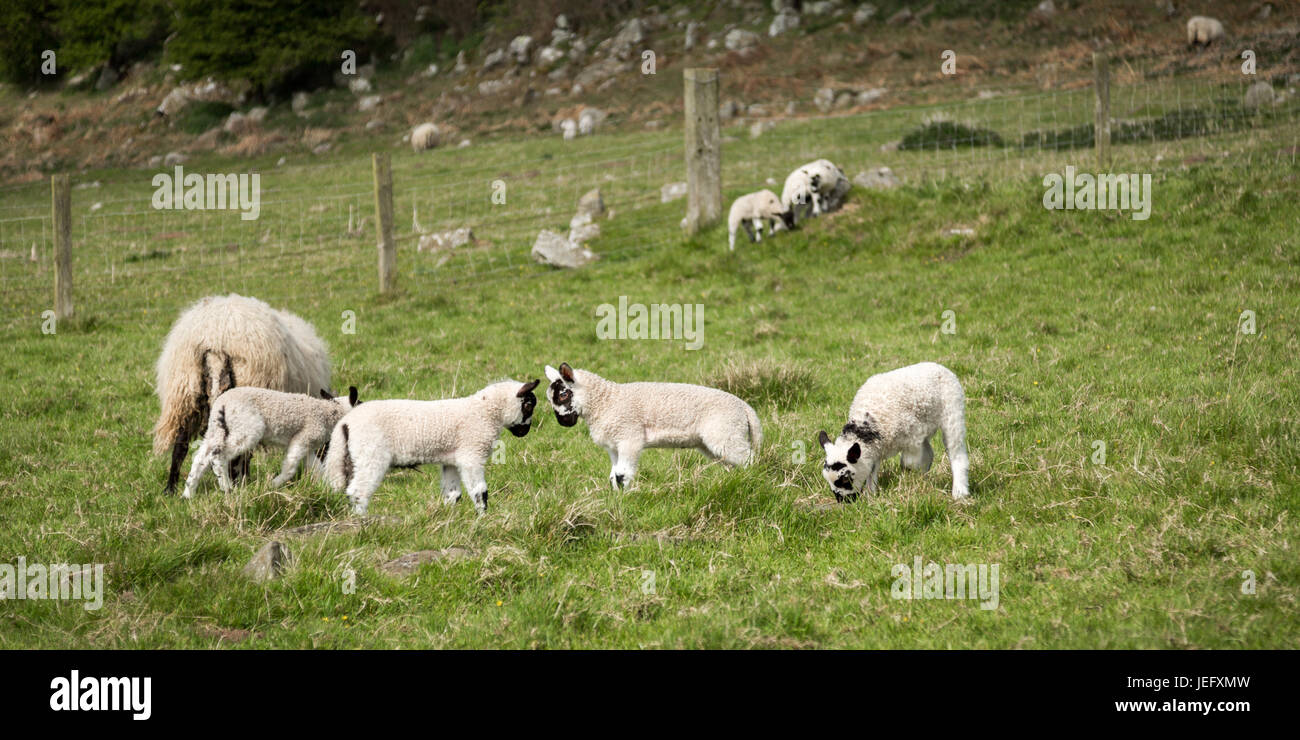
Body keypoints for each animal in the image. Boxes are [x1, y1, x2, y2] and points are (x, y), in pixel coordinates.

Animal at [153, 294, 331, 495]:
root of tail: (217, 337)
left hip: (185, 393)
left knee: (180, 445)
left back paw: (171, 489)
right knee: (236, 452)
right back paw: (237, 482)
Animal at [181, 386, 360, 499]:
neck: (329, 413)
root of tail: (221, 405)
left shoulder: (308, 443)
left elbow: (316, 468)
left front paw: (329, 489)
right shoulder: (304, 436)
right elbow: (290, 467)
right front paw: (272, 485)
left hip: (216, 429)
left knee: (202, 457)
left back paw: (188, 493)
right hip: (246, 428)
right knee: (219, 455)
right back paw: (227, 488)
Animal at [324, 379, 540, 515]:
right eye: (529, 405)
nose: (525, 432)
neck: (484, 413)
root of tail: (346, 423)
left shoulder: (451, 460)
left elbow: (453, 493)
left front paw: (449, 518)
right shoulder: (472, 454)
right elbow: (480, 491)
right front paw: (483, 518)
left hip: (349, 456)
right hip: (371, 454)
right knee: (358, 491)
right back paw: (362, 522)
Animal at [543, 363, 762, 490]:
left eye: (563, 394)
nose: (563, 422)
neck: (605, 401)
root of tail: (745, 408)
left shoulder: (629, 437)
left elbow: (622, 474)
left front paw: (625, 497)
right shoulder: (613, 446)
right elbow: (613, 475)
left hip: (726, 432)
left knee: (749, 459)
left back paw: (754, 480)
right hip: (719, 439)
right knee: (733, 463)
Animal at [817, 362, 969, 503]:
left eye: (845, 479)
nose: (843, 501)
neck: (868, 423)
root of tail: (940, 366)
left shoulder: (913, 435)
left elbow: (909, 462)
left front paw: (912, 475)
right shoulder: (877, 447)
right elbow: (872, 470)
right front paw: (870, 494)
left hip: (953, 412)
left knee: (956, 453)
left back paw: (959, 492)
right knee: (930, 451)